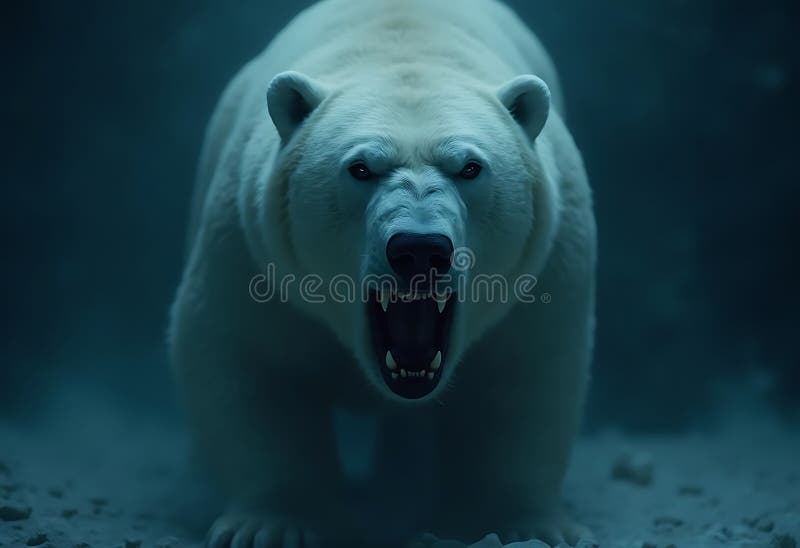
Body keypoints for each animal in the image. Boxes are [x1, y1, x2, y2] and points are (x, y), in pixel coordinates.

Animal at [169, 0, 596, 546]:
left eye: (470, 167)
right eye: (360, 168)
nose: (419, 249)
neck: (404, 43)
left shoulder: (545, 267)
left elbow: (527, 375)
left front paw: (532, 523)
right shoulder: (255, 255)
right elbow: (250, 360)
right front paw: (271, 523)